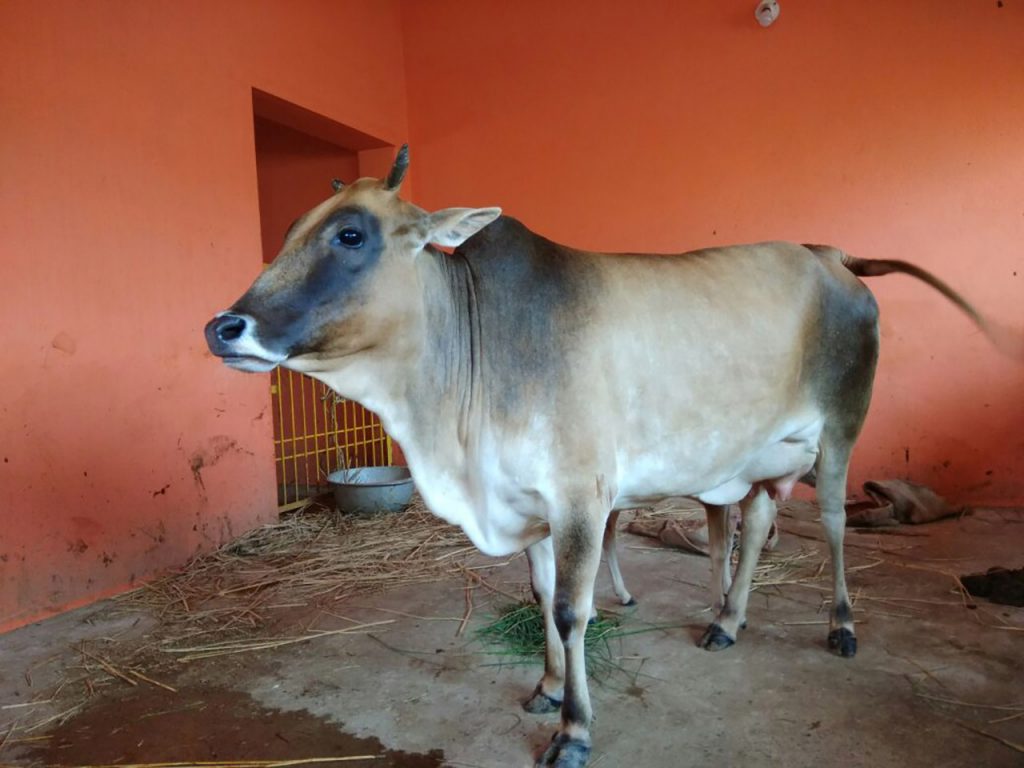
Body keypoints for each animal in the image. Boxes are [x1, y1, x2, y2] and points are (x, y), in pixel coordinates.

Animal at [205, 146, 1007, 768]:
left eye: (350, 235)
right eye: (290, 230)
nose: (223, 327)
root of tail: (829, 253)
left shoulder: (581, 496)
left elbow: (570, 608)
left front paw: (575, 730)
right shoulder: (528, 503)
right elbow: (538, 596)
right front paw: (548, 688)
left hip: (839, 433)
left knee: (837, 522)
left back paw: (841, 626)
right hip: (757, 458)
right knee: (753, 529)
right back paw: (728, 620)